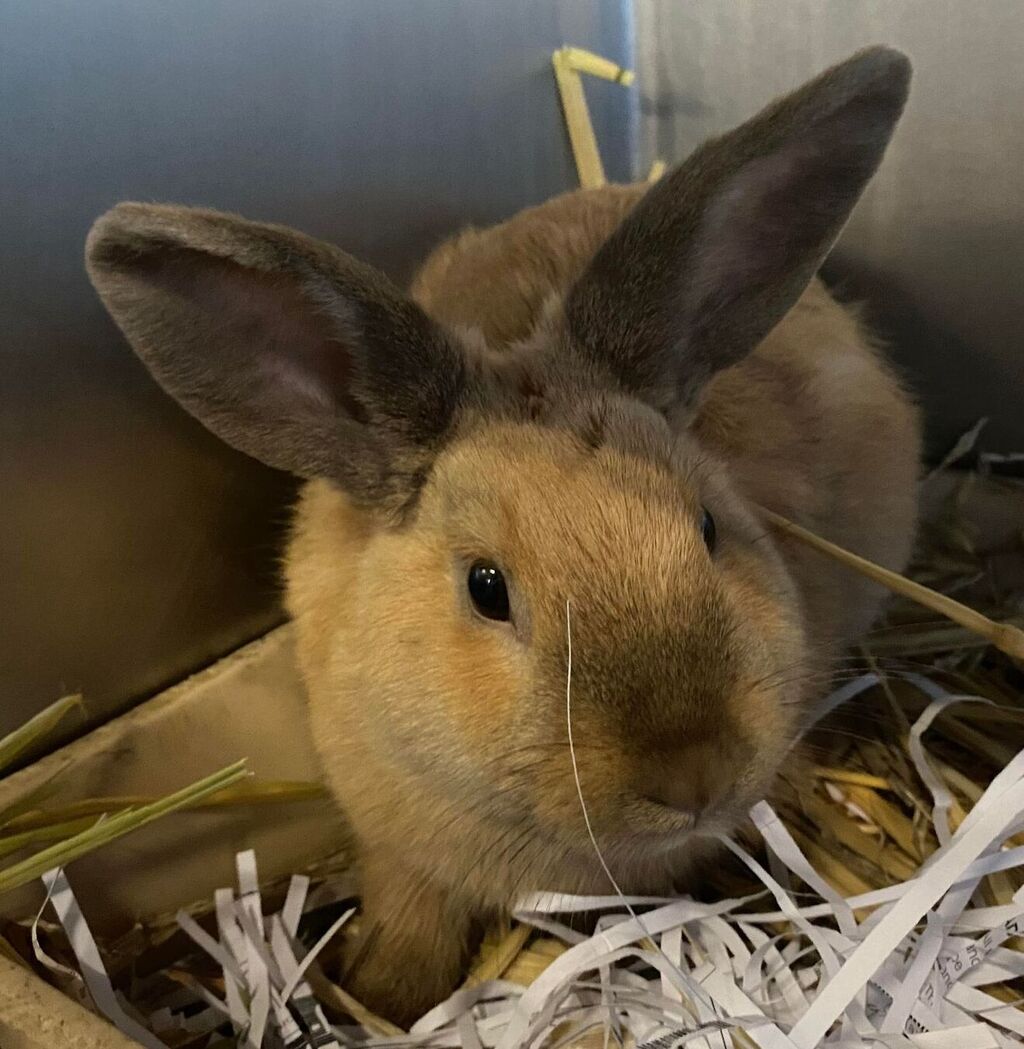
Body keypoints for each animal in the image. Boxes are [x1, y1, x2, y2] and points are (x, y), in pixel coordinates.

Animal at [86, 46, 919, 1025]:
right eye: (487, 588)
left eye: (710, 528)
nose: (693, 776)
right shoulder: (400, 851)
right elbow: (410, 926)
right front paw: (384, 992)